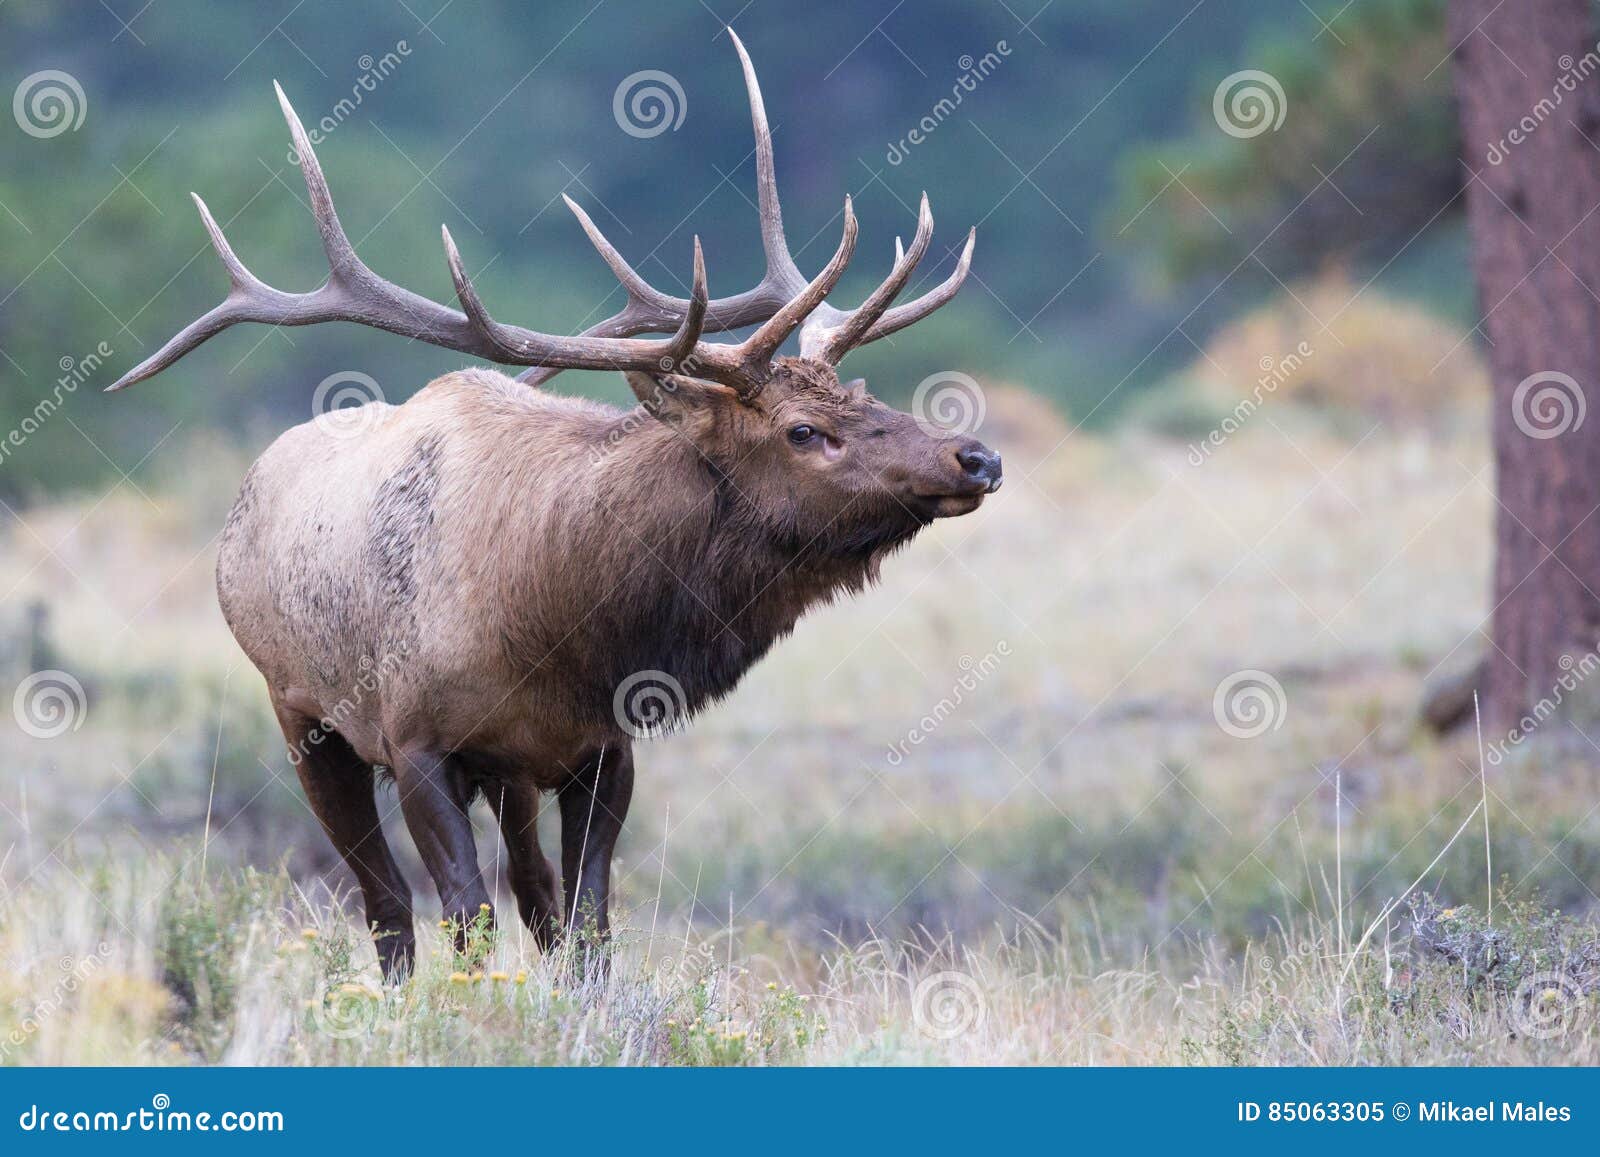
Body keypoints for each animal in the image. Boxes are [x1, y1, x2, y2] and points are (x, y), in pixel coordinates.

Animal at [107, 31, 1000, 980]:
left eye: (862, 392)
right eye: (803, 430)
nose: (976, 455)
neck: (559, 622)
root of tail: (242, 505)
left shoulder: (598, 747)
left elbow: (585, 921)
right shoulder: (416, 740)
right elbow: (465, 916)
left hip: (505, 774)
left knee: (530, 892)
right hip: (302, 715)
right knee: (388, 910)